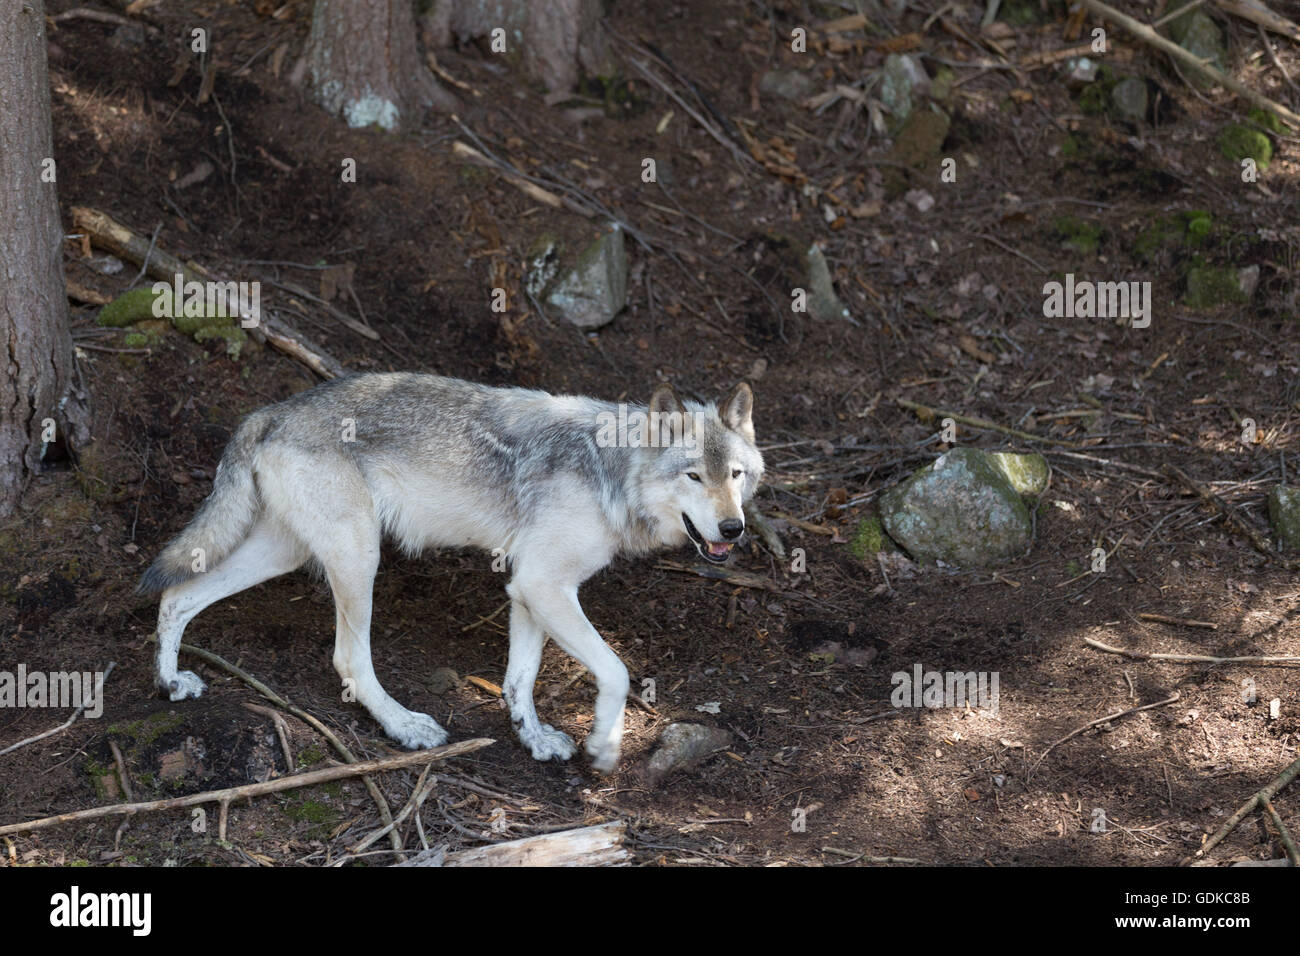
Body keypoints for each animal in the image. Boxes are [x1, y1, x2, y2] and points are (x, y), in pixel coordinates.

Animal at [139, 374, 763, 772]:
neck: (611, 470)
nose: (733, 530)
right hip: (359, 555)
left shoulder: (528, 589)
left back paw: (171, 682)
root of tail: (274, 409)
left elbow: (519, 679)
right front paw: (605, 749)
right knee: (348, 659)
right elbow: (616, 670)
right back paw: (405, 727)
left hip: (285, 552)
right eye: (693, 477)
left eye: (735, 475)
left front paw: (534, 739)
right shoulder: (544, 585)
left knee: (176, 596)